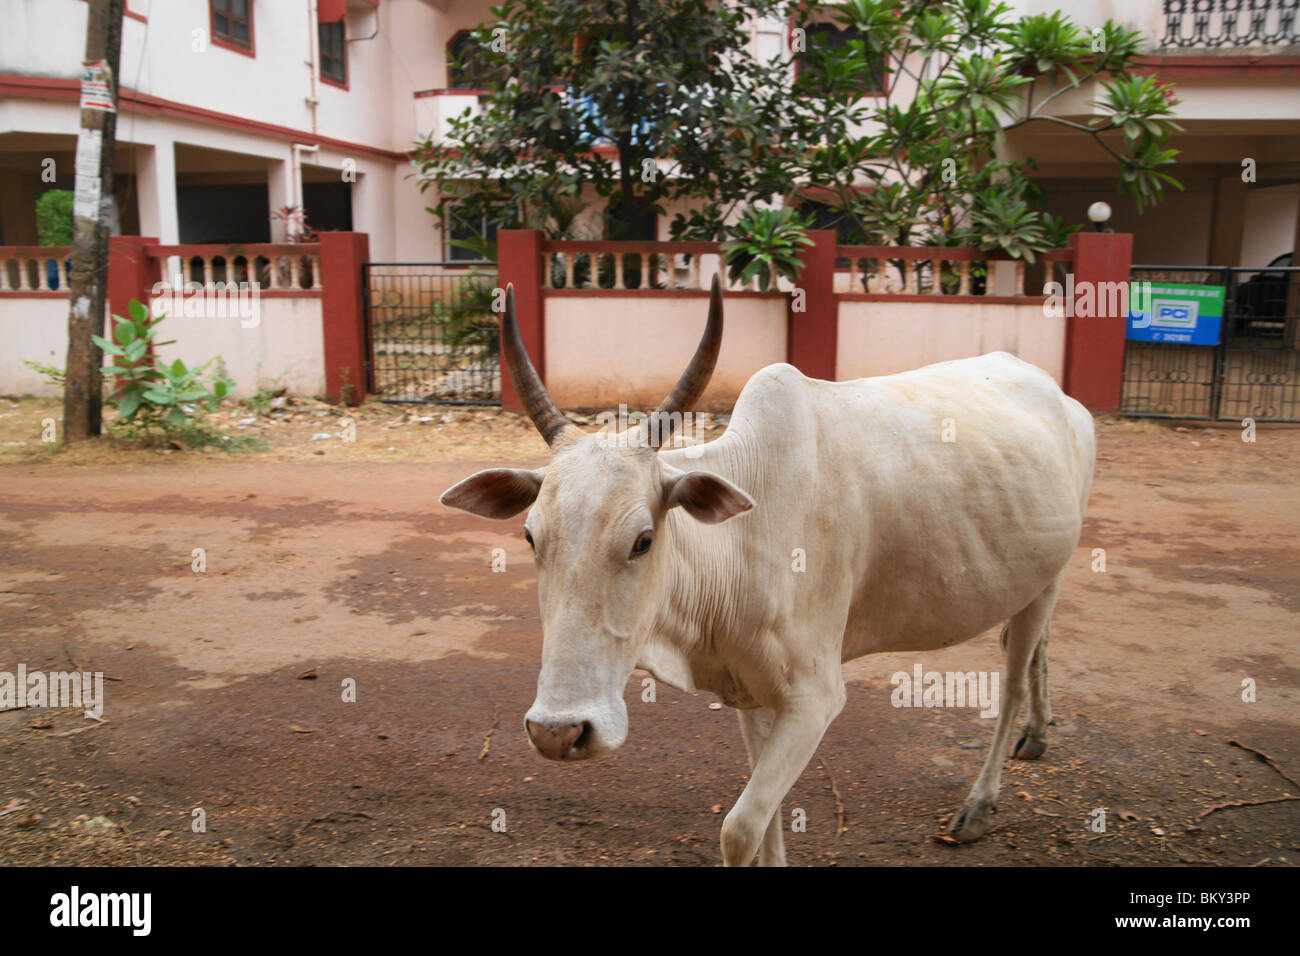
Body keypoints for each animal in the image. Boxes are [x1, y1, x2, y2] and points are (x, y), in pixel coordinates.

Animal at [441, 277, 1095, 866]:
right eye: (531, 536)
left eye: (643, 540)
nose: (558, 732)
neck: (739, 544)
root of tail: (1063, 399)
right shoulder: (751, 696)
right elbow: (769, 826)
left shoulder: (814, 698)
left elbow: (740, 830)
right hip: (1032, 577)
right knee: (1034, 647)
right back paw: (1039, 734)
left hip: (1053, 574)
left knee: (1012, 680)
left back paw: (980, 804)